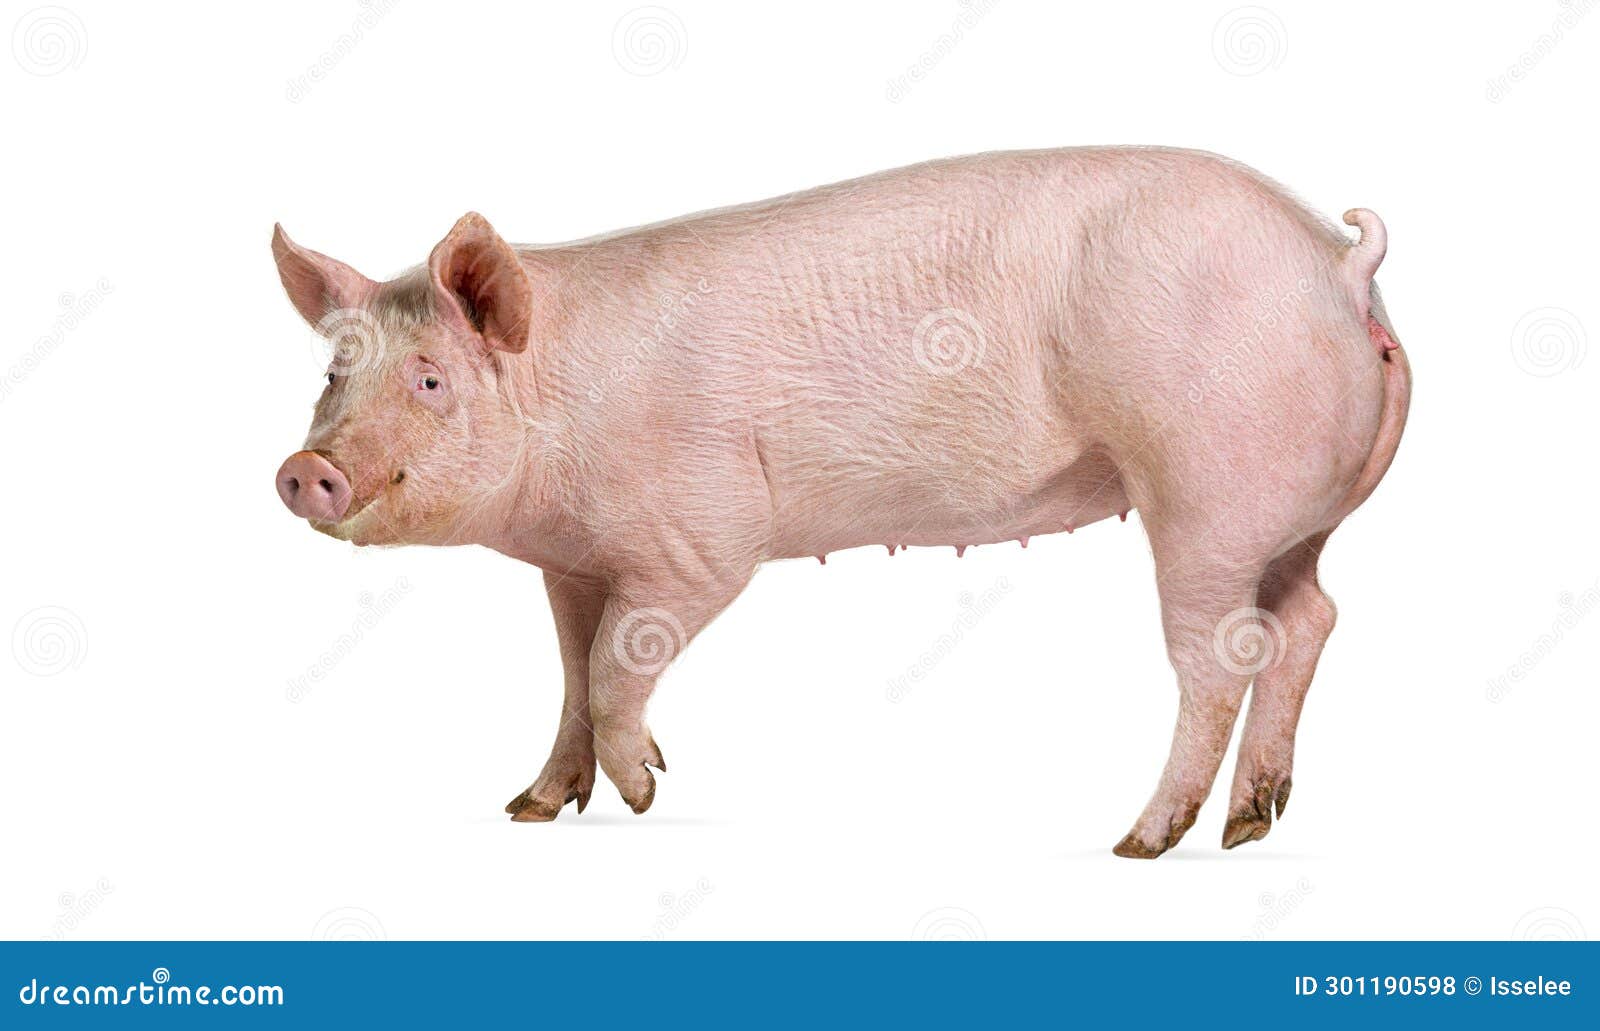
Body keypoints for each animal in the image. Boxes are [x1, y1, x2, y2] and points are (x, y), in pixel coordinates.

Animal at [273, 147, 1409, 857]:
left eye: (429, 379)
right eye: (334, 373)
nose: (303, 468)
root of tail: (1338, 264)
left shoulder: (699, 540)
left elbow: (610, 668)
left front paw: (646, 790)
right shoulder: (573, 563)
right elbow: (568, 672)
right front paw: (530, 809)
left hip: (1205, 492)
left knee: (1223, 654)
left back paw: (1143, 841)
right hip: (1293, 515)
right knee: (1311, 615)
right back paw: (1251, 822)